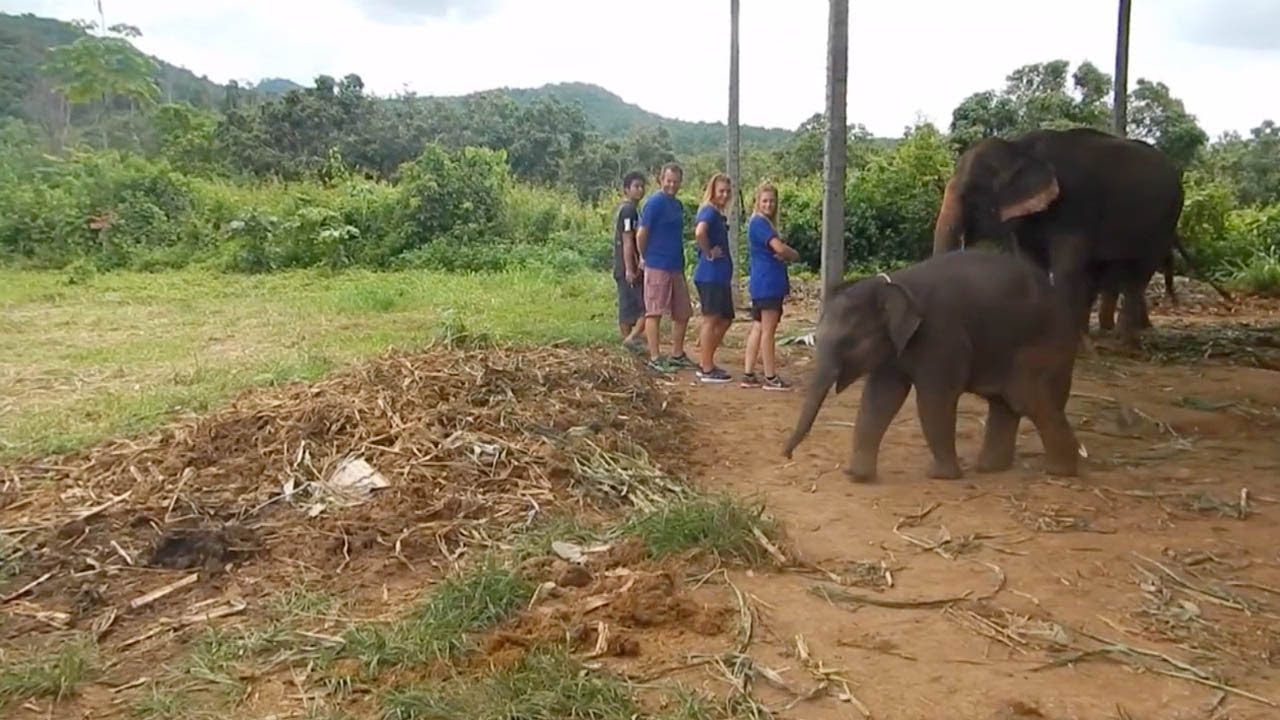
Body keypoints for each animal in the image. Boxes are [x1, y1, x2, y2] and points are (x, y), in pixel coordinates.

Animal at [781, 250, 1084, 482]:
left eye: (848, 341)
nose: (786, 454)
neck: (895, 283)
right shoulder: (894, 349)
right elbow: (878, 399)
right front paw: (857, 476)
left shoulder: (940, 337)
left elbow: (934, 400)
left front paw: (941, 476)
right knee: (1004, 404)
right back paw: (990, 468)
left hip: (1042, 348)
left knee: (1029, 399)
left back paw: (1060, 471)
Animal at [931, 127, 1185, 343]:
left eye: (972, 193)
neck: (1021, 149)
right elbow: (1031, 264)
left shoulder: (1074, 206)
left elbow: (1066, 267)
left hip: (1166, 220)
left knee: (1138, 273)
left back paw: (1122, 344)